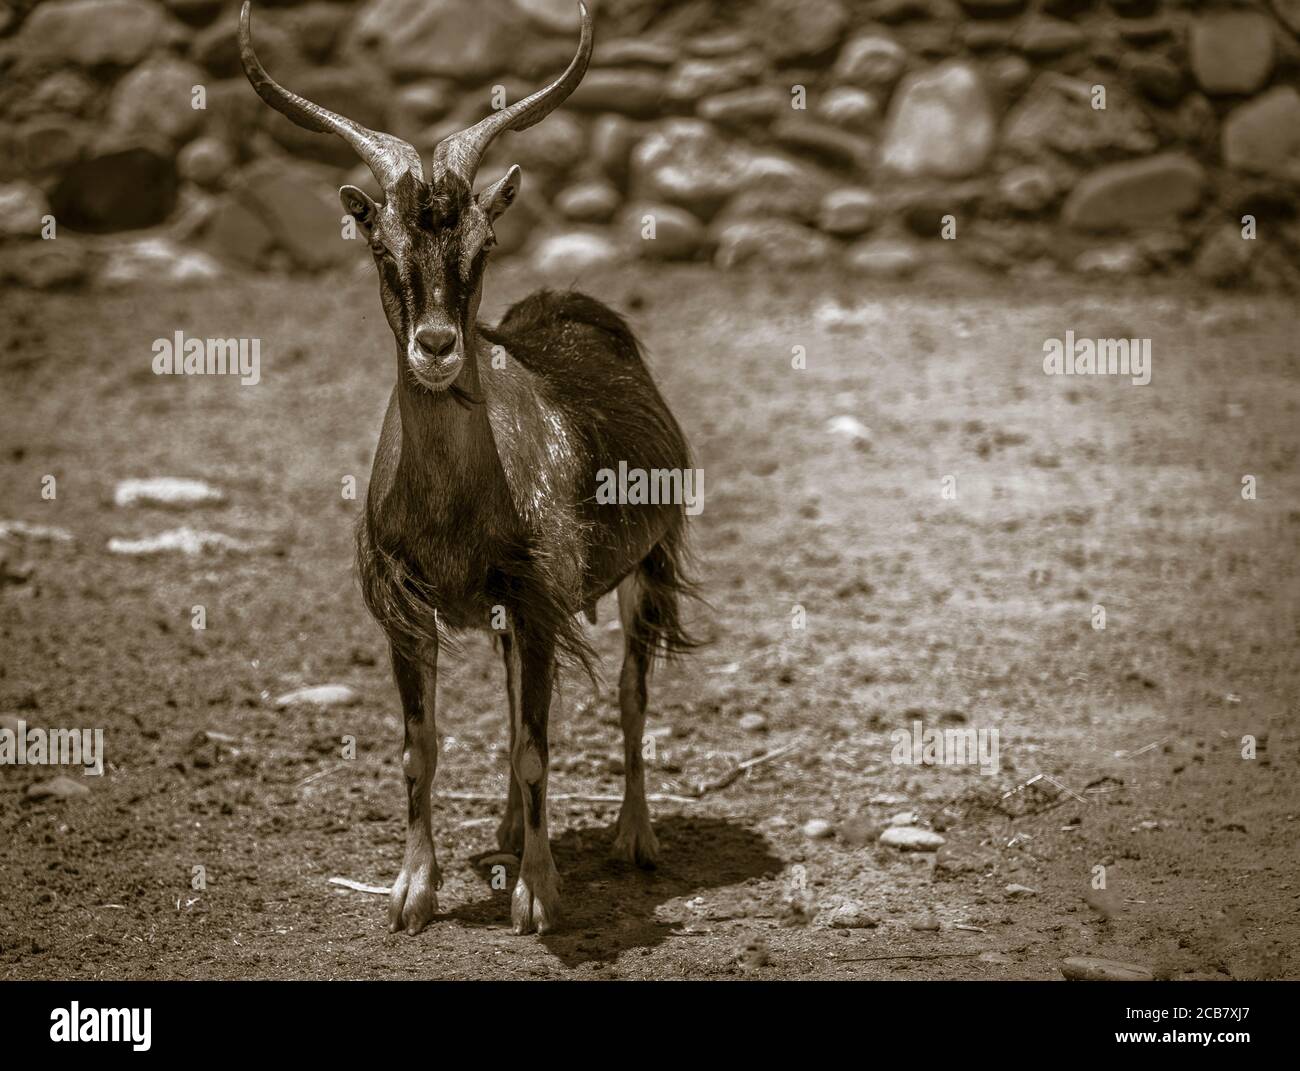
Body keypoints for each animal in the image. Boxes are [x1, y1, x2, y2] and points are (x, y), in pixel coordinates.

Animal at [239, 1, 699, 935]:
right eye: (382, 247)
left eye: (482, 245)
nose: (438, 346)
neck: (456, 507)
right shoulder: (407, 608)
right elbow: (424, 747)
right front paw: (412, 891)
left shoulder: (539, 596)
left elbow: (536, 745)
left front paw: (538, 894)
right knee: (526, 702)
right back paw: (508, 830)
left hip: (648, 563)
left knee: (630, 695)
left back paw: (633, 838)